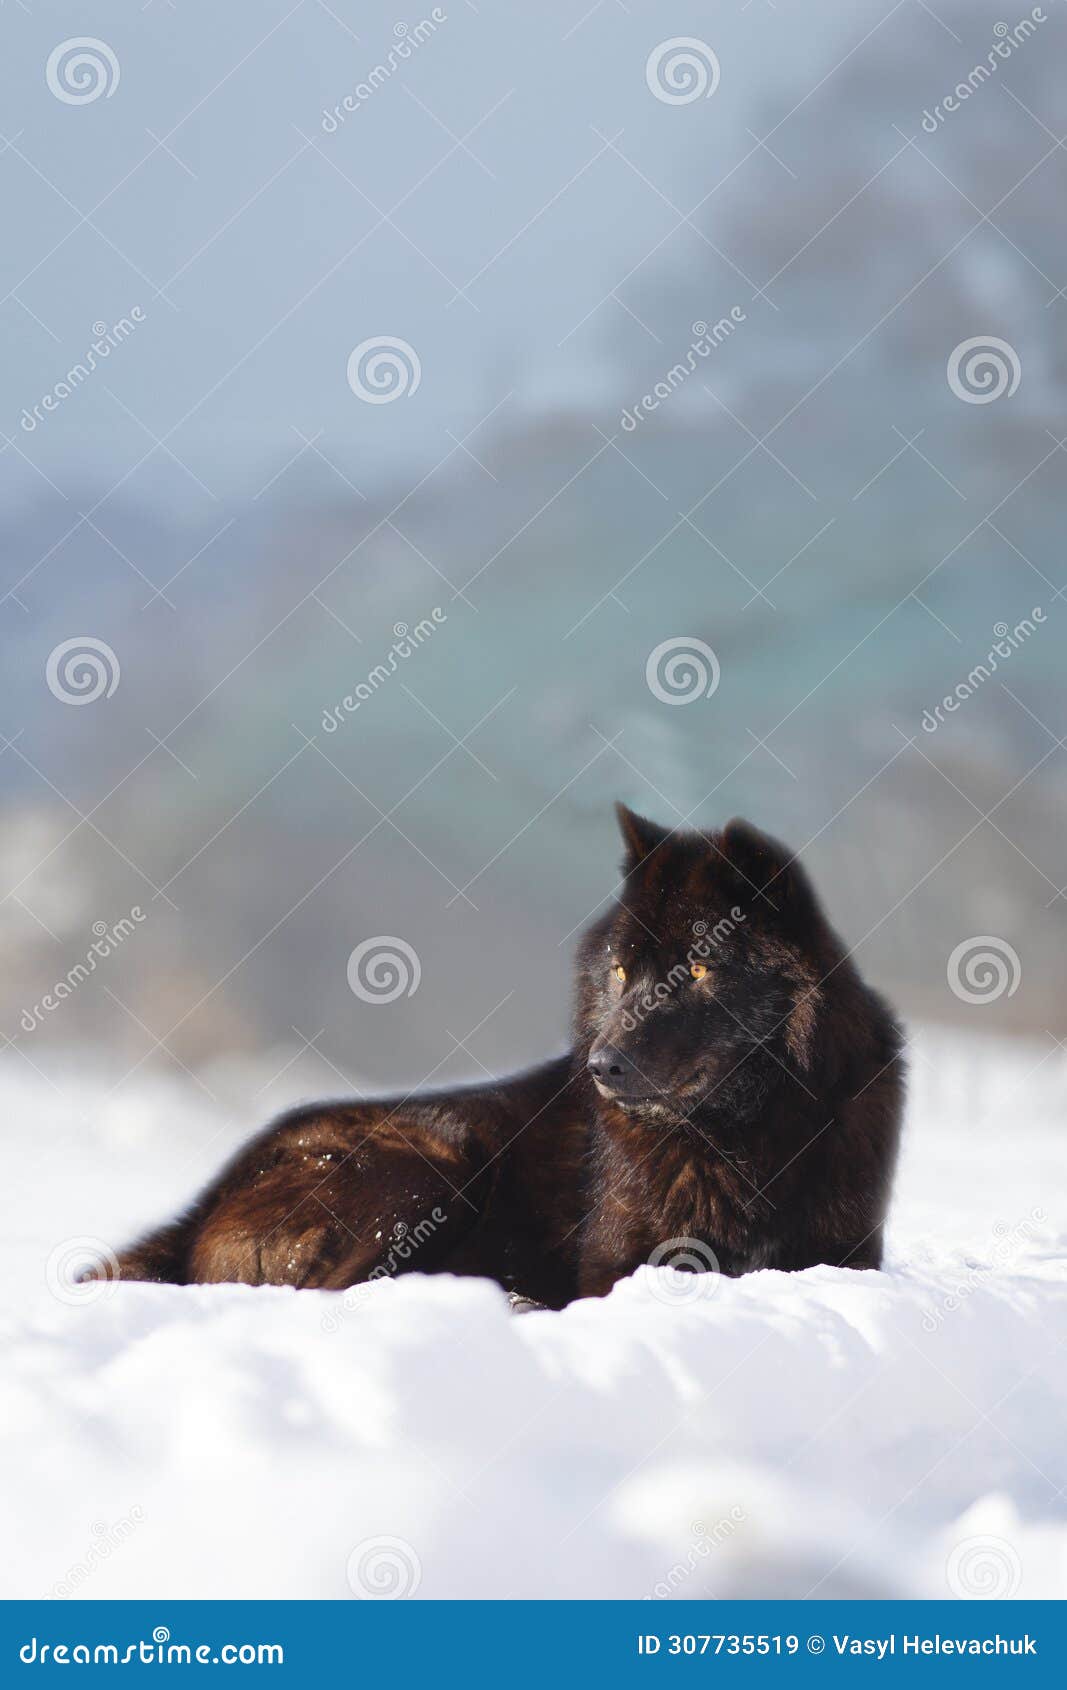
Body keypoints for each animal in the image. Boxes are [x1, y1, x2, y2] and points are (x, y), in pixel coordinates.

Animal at [96, 807, 904, 1307]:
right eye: (621, 972)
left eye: (698, 970)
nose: (602, 1066)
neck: (741, 1139)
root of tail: (199, 1209)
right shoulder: (618, 1264)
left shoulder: (847, 1253)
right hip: (432, 1167)